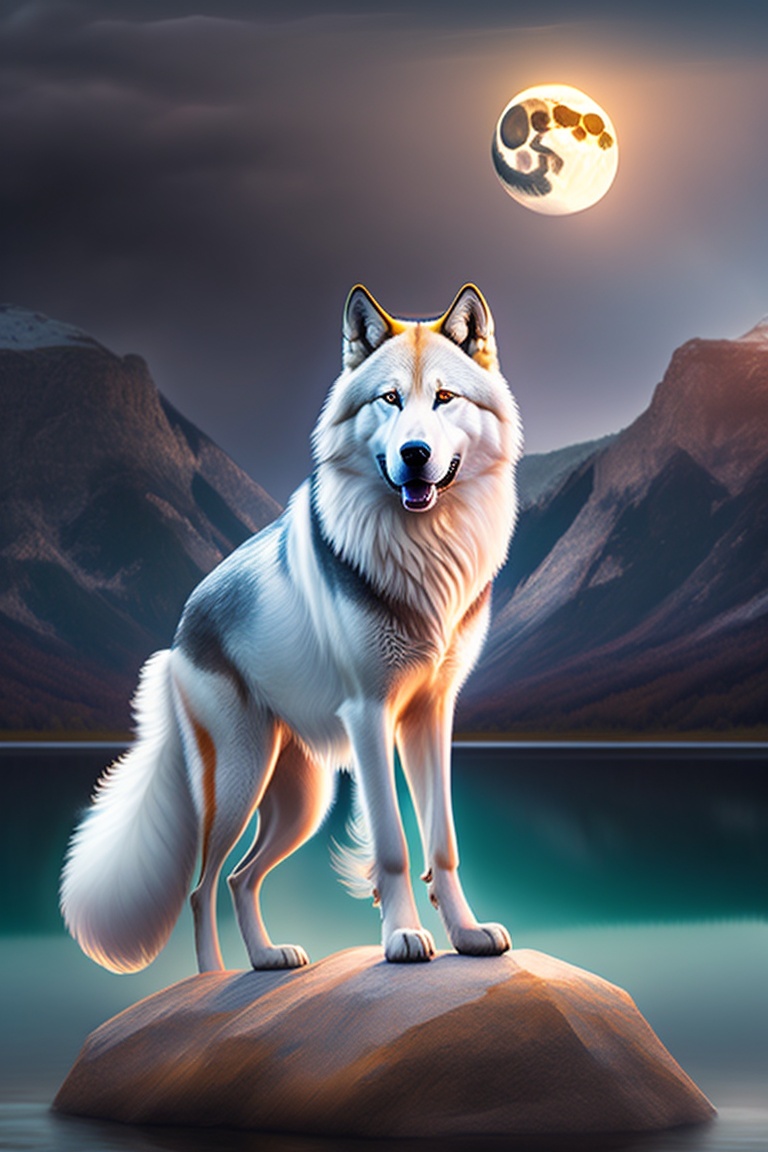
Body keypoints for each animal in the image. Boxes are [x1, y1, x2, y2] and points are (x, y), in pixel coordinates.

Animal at [60, 284, 523, 973]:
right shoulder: (370, 715)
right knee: (202, 886)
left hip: (302, 802)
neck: (421, 552)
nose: (414, 455)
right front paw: (402, 940)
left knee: (239, 877)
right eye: (390, 399)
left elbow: (442, 841)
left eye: (444, 397)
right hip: (239, 779)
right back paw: (213, 979)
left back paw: (268, 958)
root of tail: (178, 635)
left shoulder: (431, 715)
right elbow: (392, 845)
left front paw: (466, 936)